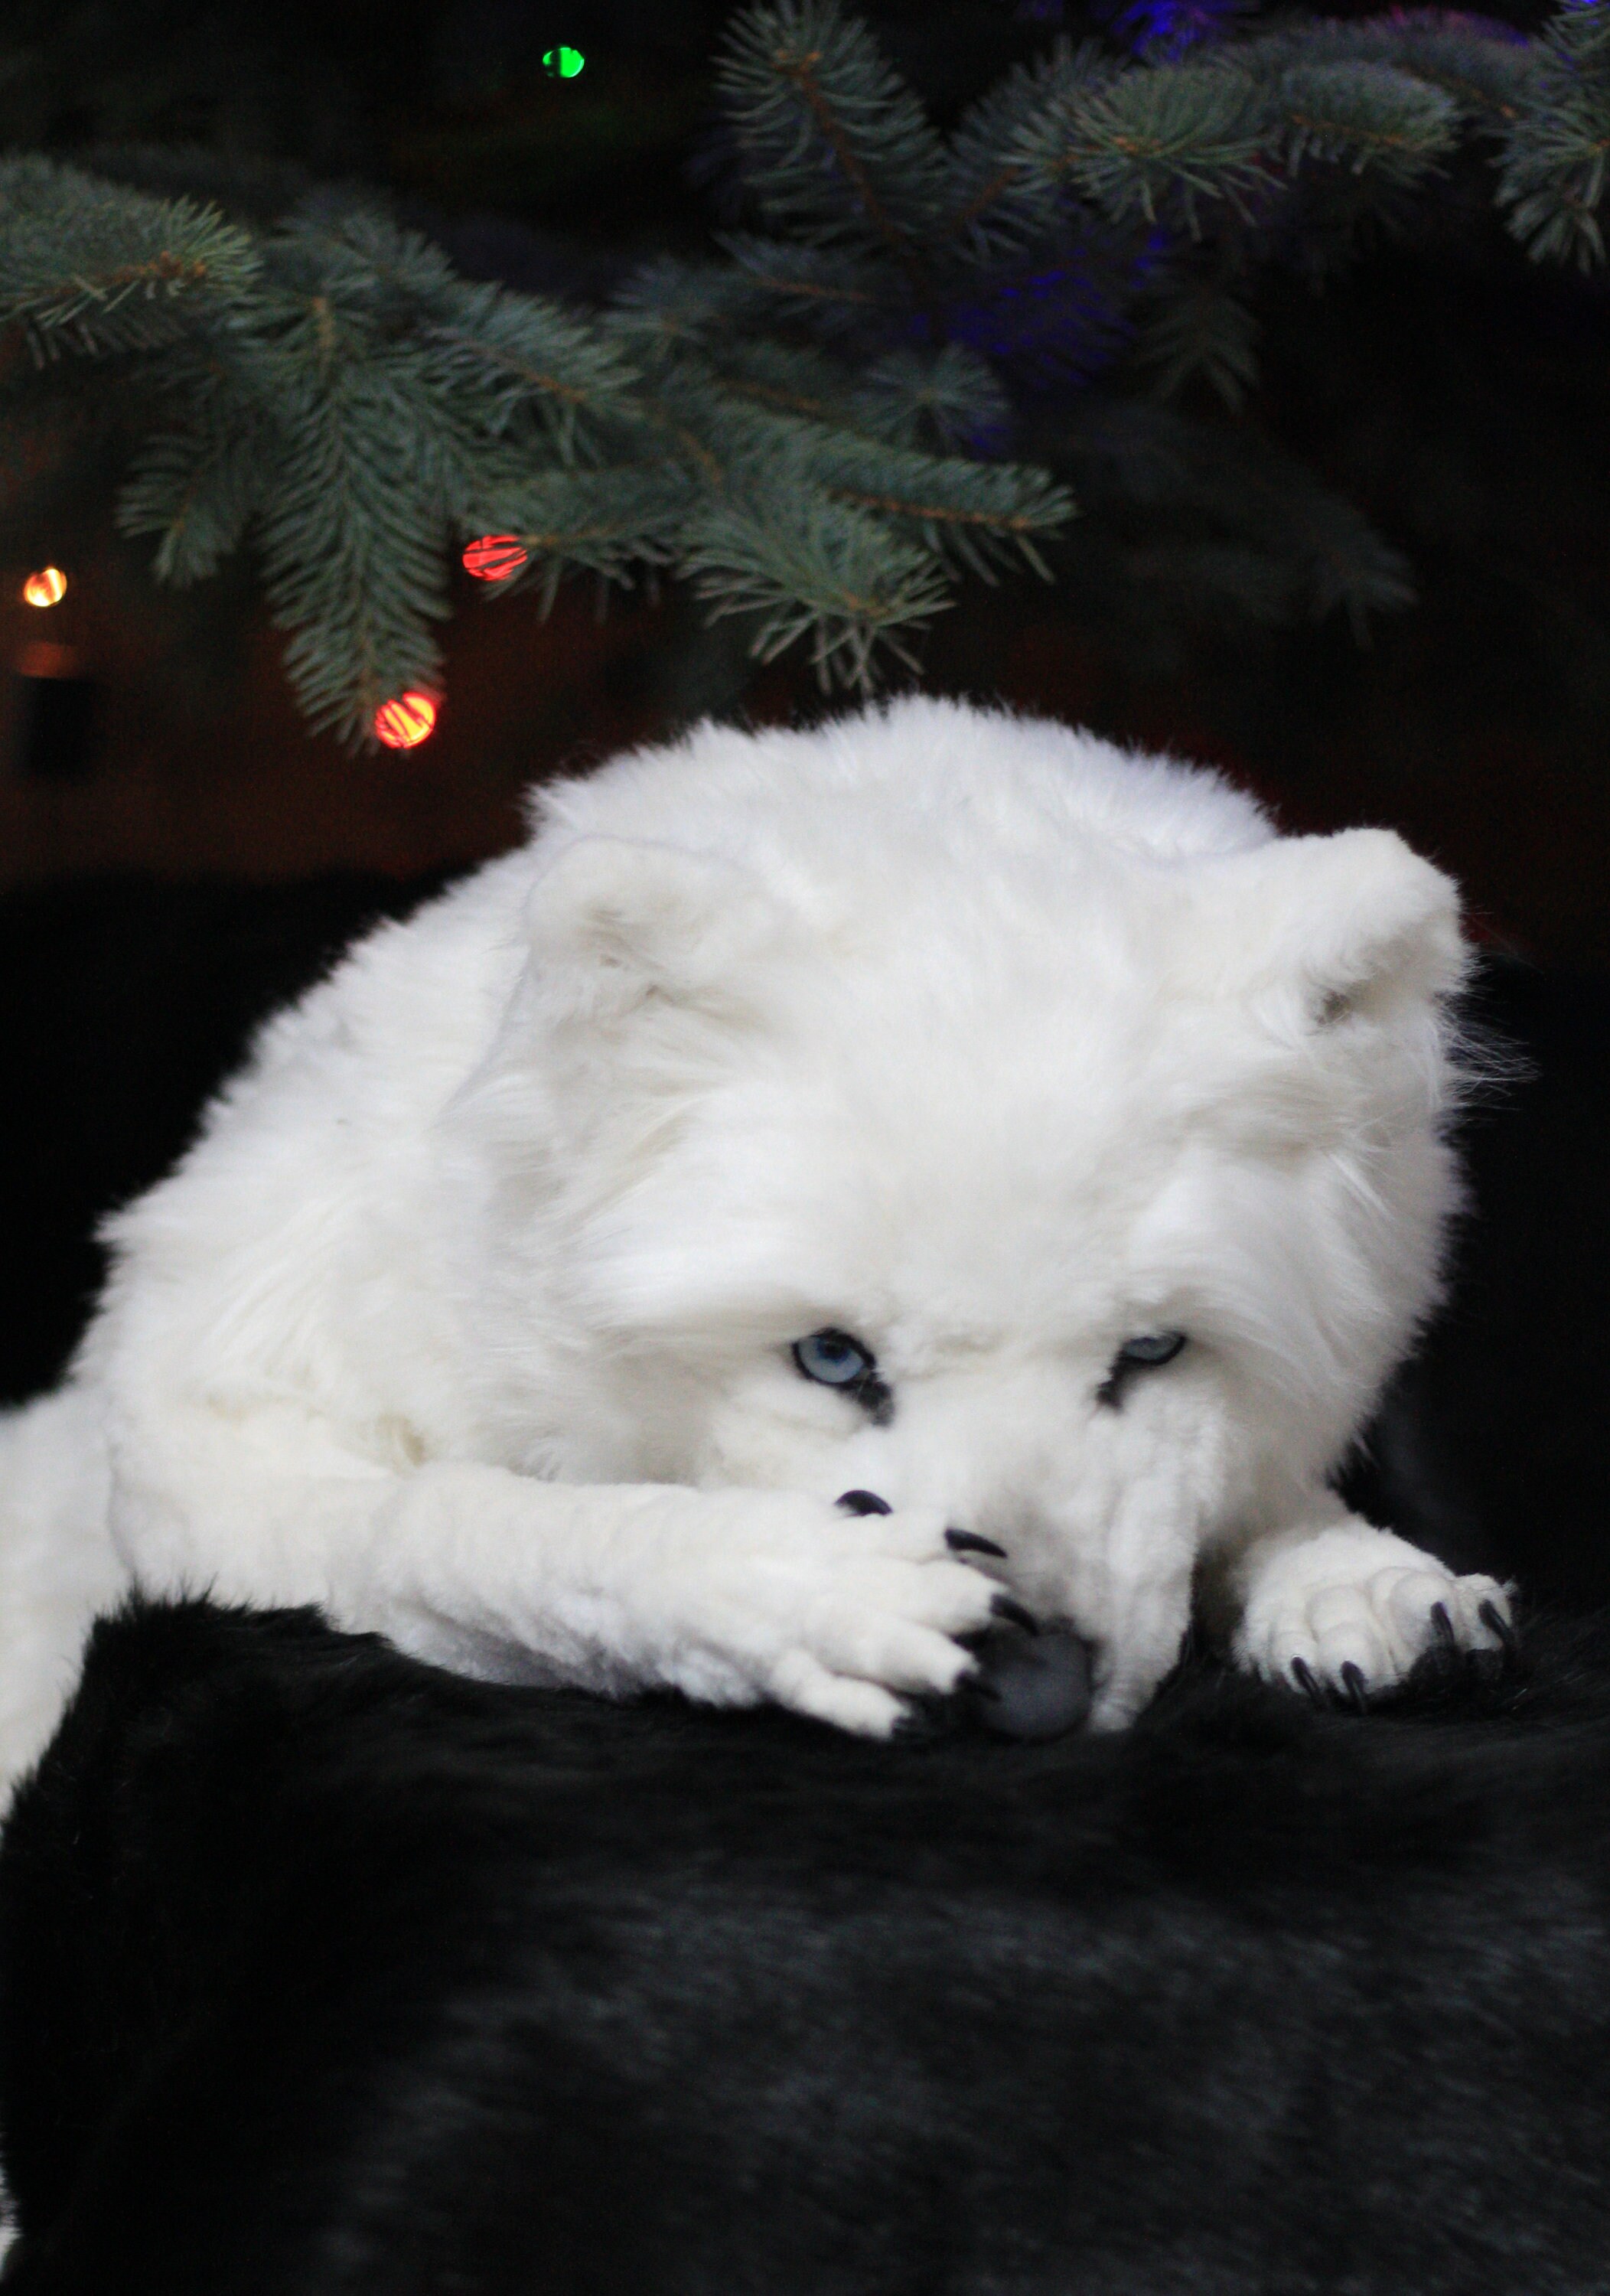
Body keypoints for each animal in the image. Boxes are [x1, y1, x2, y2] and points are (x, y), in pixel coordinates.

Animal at [0, 697, 1510, 1781]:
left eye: (1150, 1352)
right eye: (830, 1360)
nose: (1035, 1696)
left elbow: (1268, 1505)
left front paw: (1355, 1577)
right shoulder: (215, 1459)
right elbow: (489, 1524)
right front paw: (808, 1593)